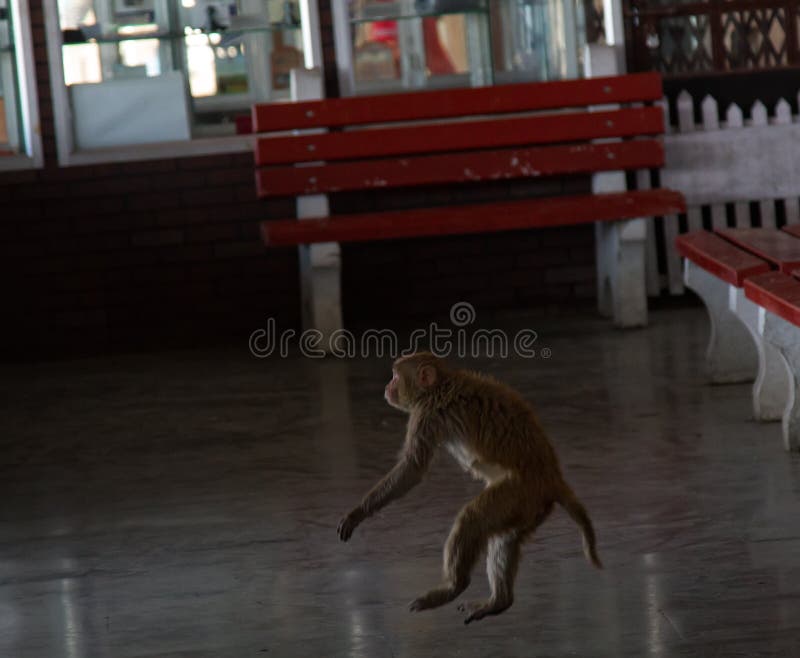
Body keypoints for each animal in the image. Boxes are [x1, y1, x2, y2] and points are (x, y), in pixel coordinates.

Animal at [337, 351, 601, 624]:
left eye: (396, 376)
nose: (388, 386)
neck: (439, 385)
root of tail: (552, 476)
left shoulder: (426, 414)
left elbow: (412, 470)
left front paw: (358, 513)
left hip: (521, 492)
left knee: (472, 519)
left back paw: (454, 586)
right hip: (530, 505)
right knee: (506, 536)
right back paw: (499, 602)